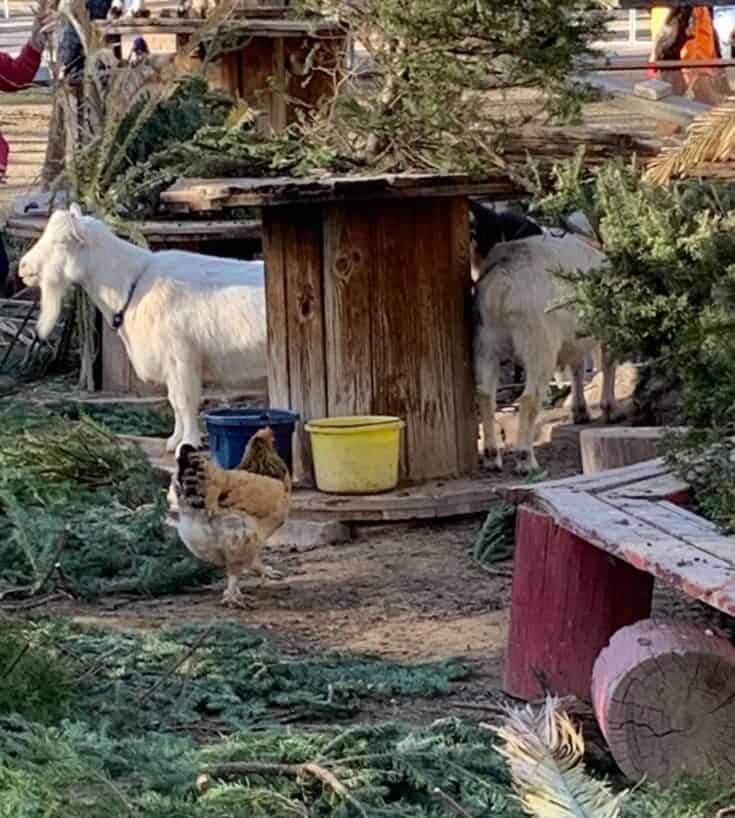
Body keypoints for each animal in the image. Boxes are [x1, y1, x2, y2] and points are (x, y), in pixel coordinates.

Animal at [19, 206, 267, 453]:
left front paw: (187, 443)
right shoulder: (170, 364)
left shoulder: (182, 358)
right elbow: (175, 402)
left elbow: (185, 402)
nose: (23, 266)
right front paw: (174, 440)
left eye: (60, 242)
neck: (133, 286)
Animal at [471, 230, 618, 473]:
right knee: (529, 397)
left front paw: (580, 411)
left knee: (485, 394)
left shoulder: (573, 339)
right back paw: (525, 460)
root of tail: (501, 281)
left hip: (485, 338)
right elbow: (608, 363)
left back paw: (492, 456)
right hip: (538, 338)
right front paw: (610, 409)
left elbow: (577, 367)